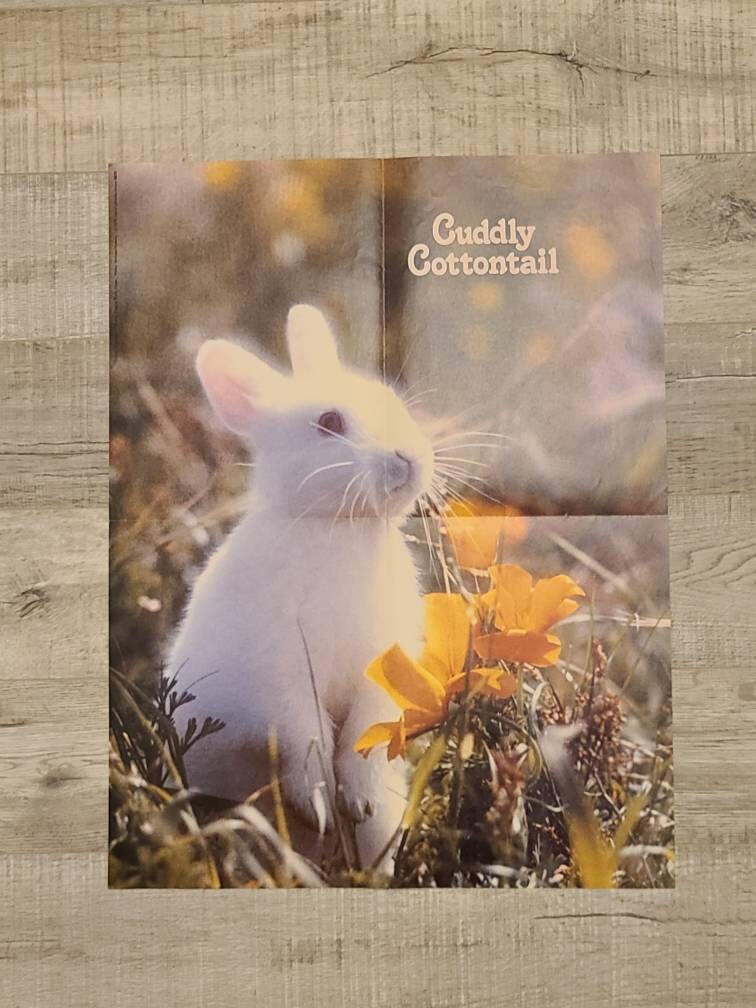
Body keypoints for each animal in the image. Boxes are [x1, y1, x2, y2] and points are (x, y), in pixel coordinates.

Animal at [168, 304, 435, 870]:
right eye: (330, 423)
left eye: (390, 402)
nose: (407, 457)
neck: (337, 527)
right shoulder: (281, 679)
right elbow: (305, 738)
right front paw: (321, 807)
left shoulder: (382, 671)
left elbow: (365, 737)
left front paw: (358, 800)